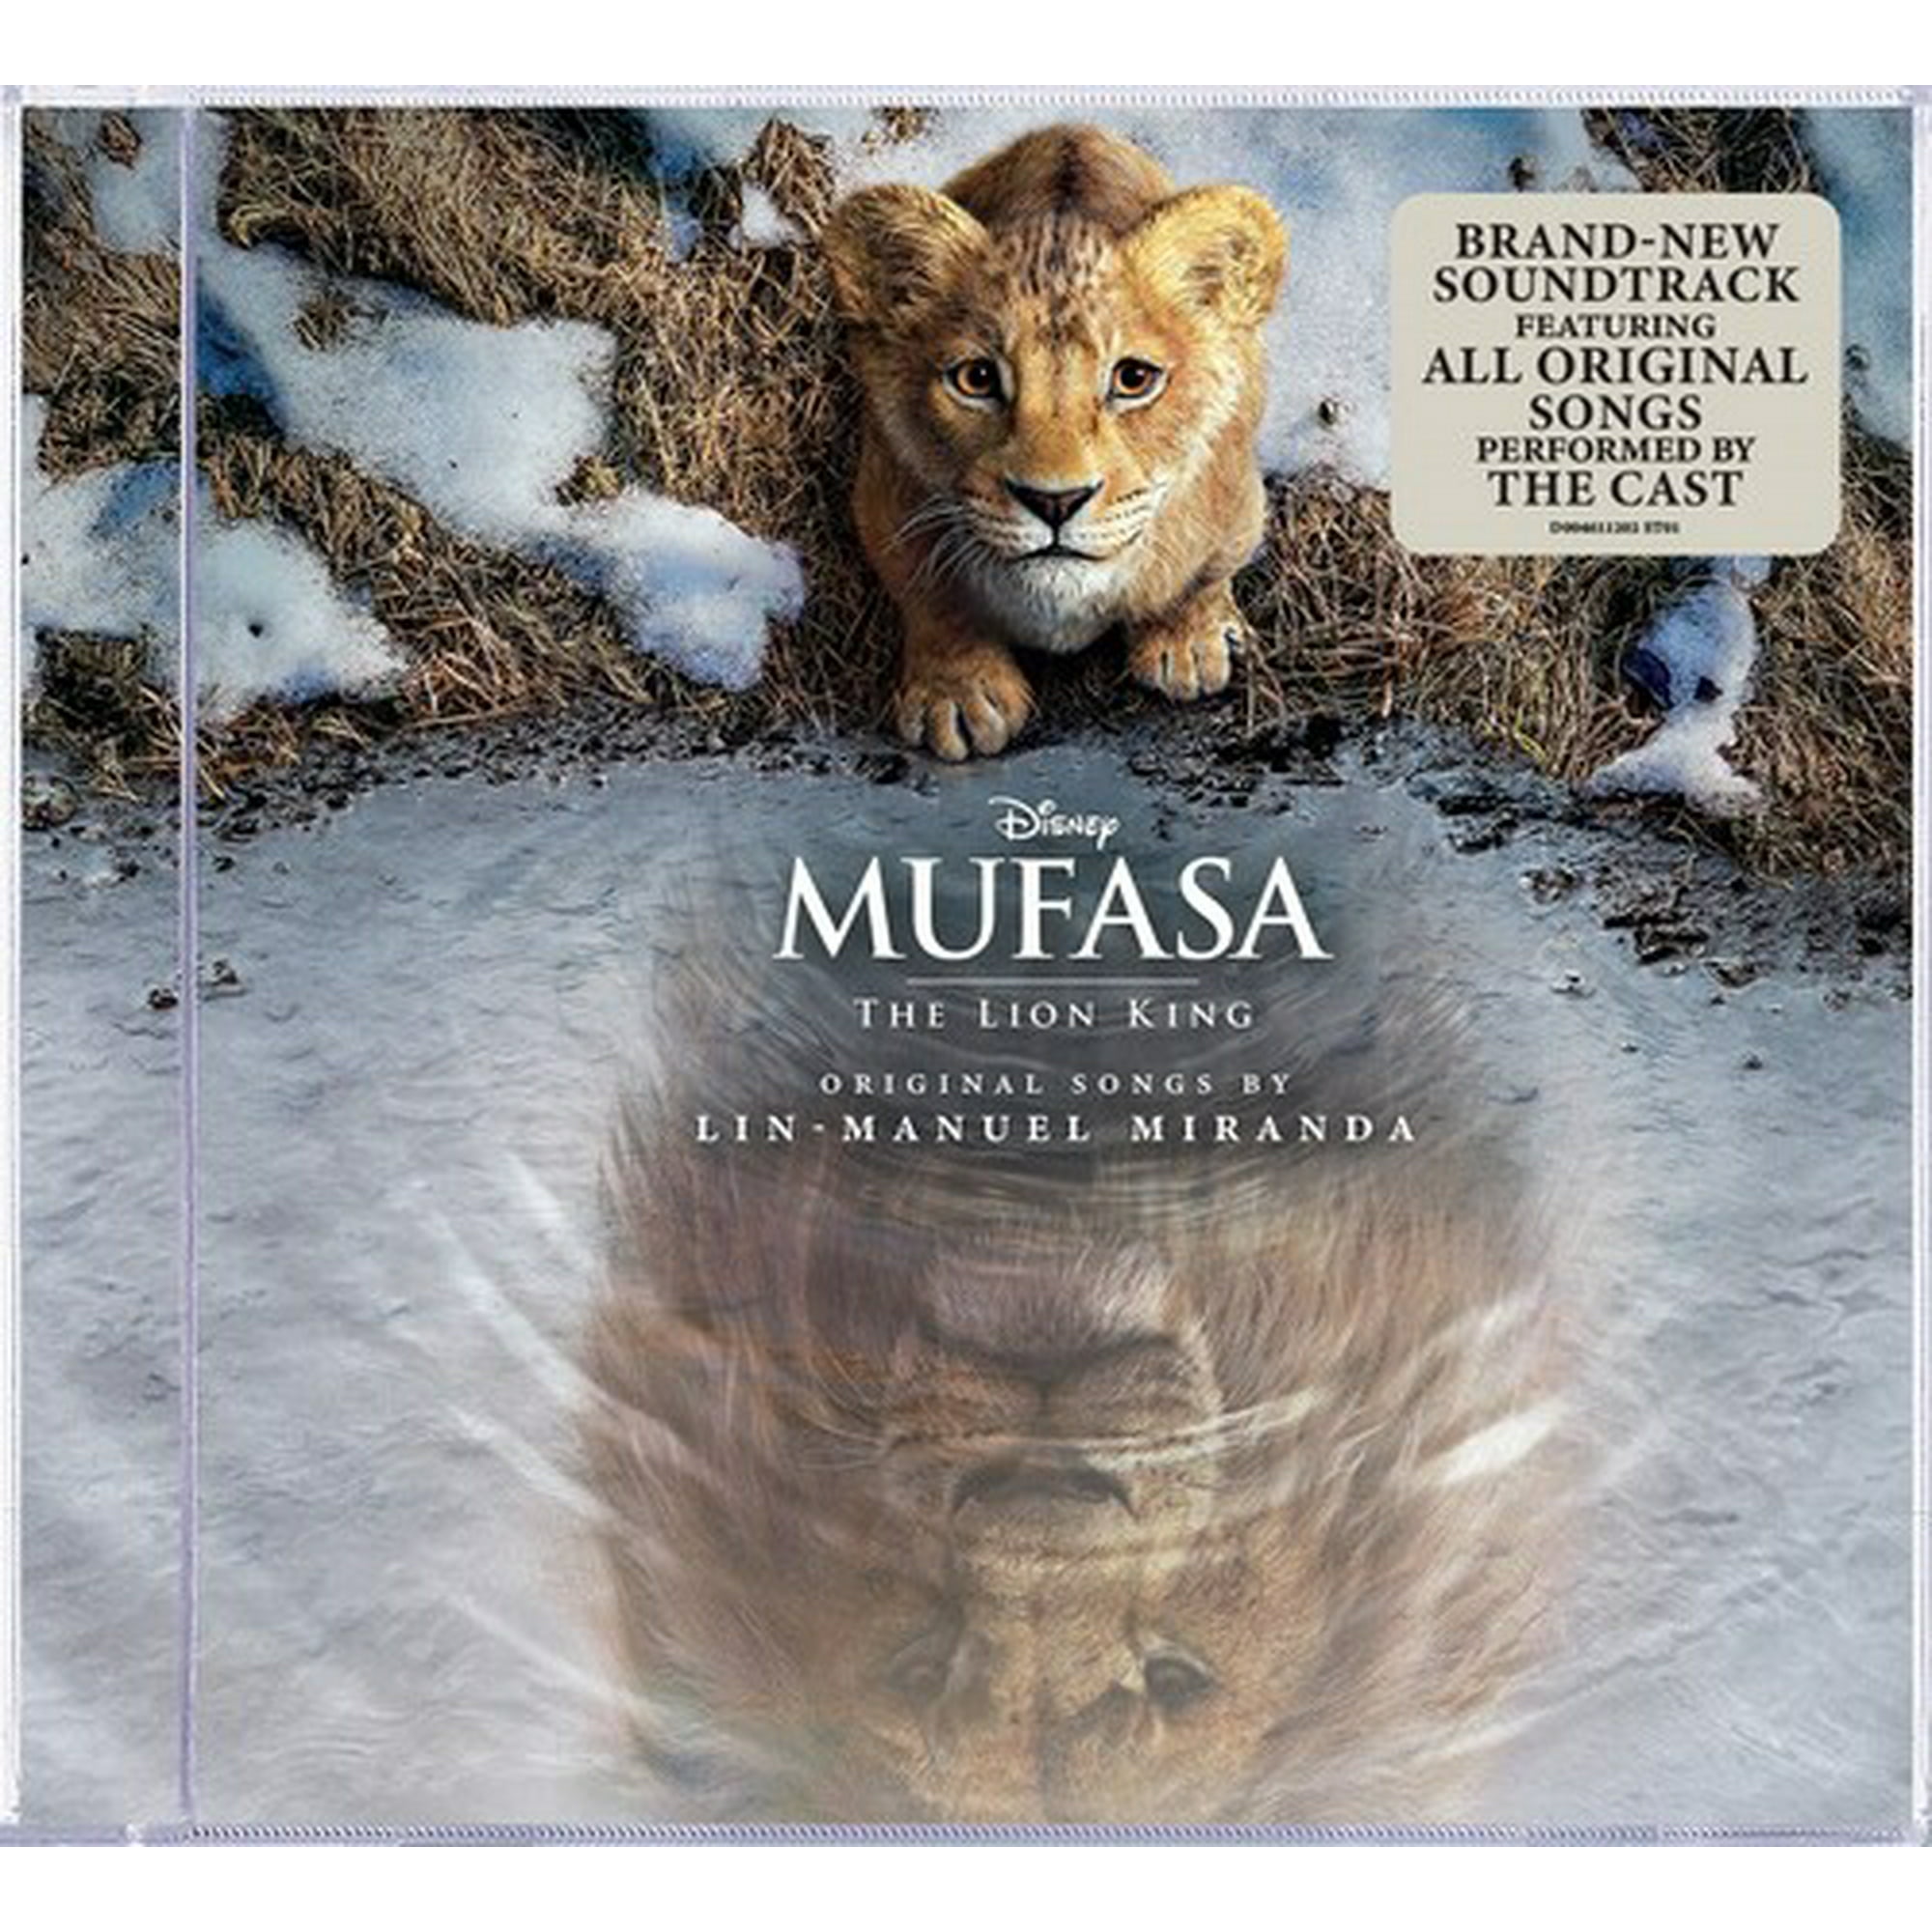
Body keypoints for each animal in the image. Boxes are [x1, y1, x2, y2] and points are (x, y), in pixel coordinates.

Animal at [821, 125, 1286, 761]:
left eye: (1133, 379)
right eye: (977, 379)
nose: (1055, 502)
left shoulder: (1237, 502)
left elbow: (1201, 576)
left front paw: (1189, 644)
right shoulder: (886, 499)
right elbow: (933, 600)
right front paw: (957, 696)